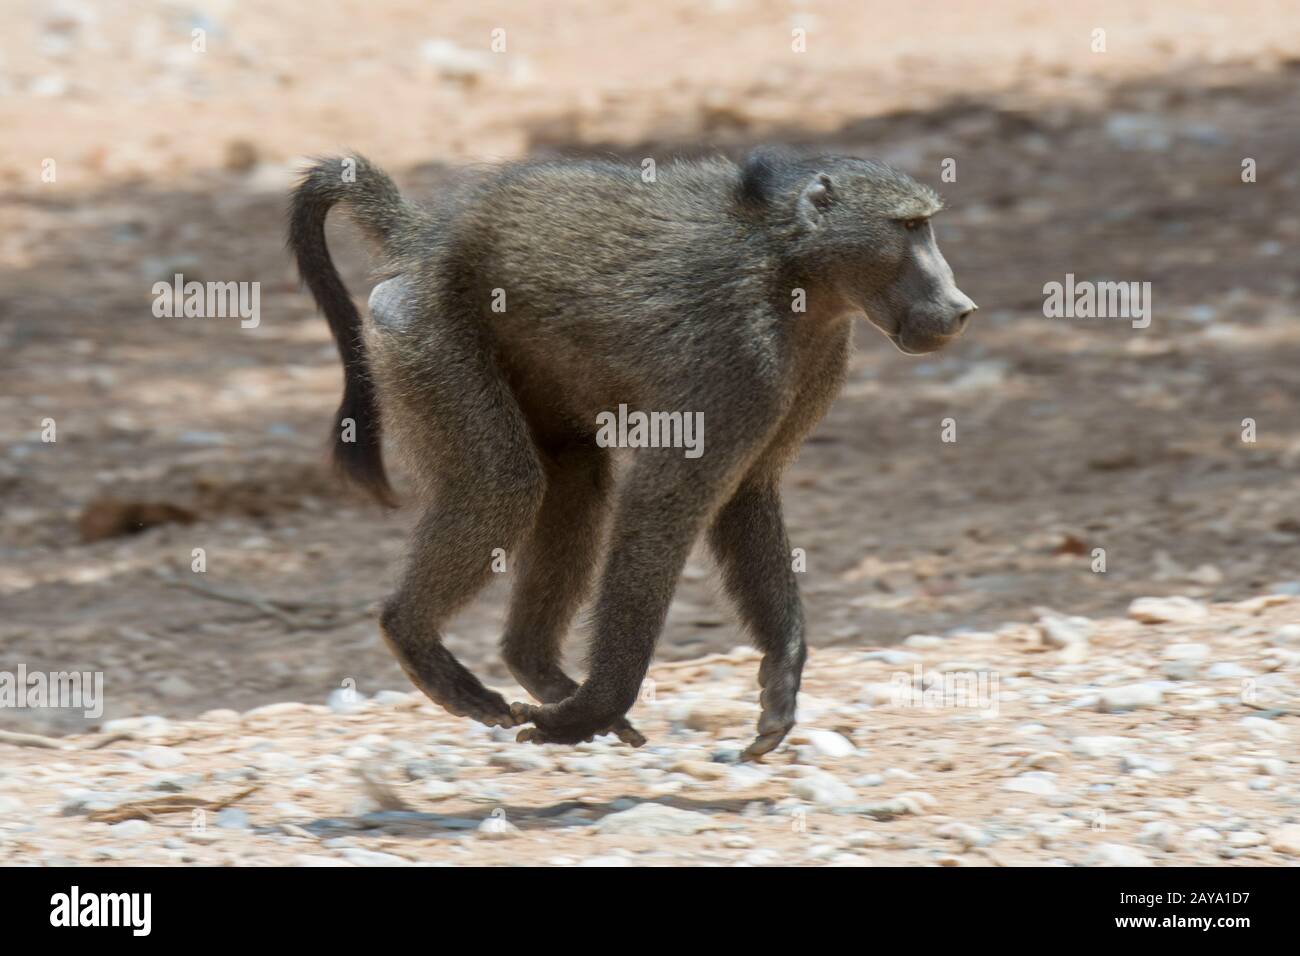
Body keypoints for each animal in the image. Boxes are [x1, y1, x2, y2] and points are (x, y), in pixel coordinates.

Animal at [288, 147, 976, 759]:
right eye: (910, 227)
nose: (960, 308)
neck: (792, 267)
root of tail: (426, 237)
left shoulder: (816, 360)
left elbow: (746, 490)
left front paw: (780, 682)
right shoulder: (739, 353)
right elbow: (664, 505)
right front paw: (596, 708)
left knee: (576, 475)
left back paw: (534, 664)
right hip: (424, 330)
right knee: (504, 484)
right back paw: (417, 639)